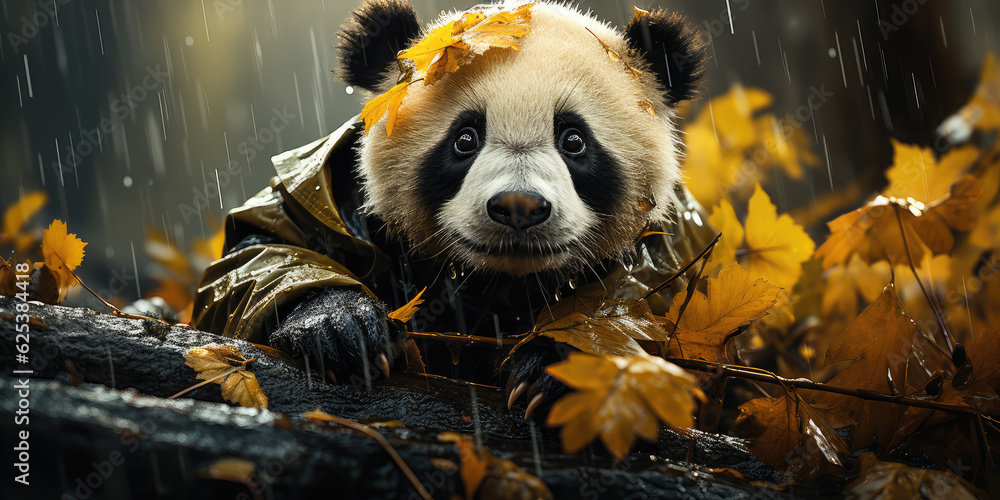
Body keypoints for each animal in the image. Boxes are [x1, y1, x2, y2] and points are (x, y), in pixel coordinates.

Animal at [192, 0, 707, 417]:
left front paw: (561, 363)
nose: (519, 206)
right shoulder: (336, 191)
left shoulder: (673, 245)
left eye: (574, 140)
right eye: (465, 138)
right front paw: (339, 327)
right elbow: (262, 248)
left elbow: (653, 308)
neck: (498, 283)